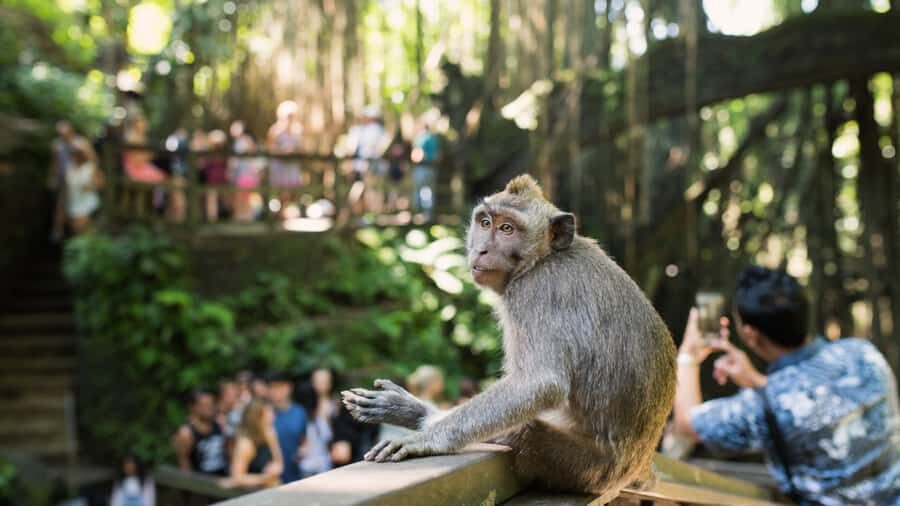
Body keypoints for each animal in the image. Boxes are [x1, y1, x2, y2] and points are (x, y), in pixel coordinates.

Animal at [341, 175, 676, 502]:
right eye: (485, 223)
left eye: (507, 229)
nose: (481, 250)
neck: (544, 258)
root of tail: (636, 465)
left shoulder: (535, 293)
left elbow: (540, 382)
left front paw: (427, 438)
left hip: (586, 467)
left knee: (525, 432)